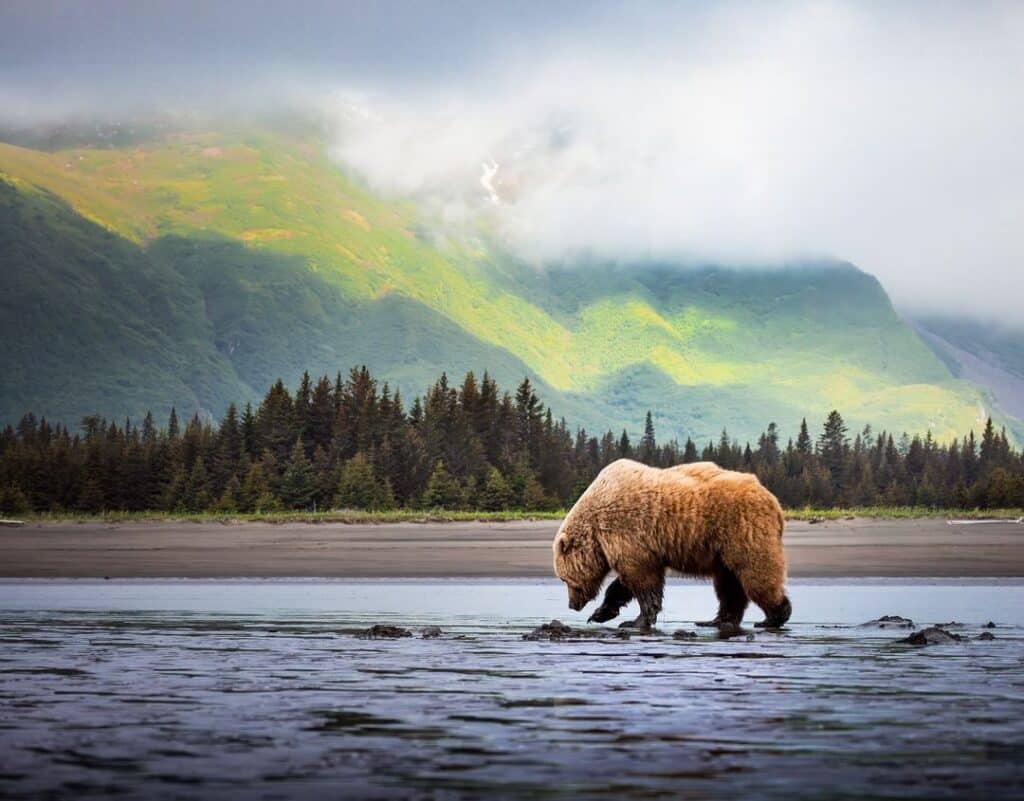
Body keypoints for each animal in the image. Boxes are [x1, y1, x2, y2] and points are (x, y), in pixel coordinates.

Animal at [552, 459, 791, 629]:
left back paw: (773, 616)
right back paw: (717, 620)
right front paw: (600, 614)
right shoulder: (634, 544)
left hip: (742, 530)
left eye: (564, 579)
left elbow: (642, 579)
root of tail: (774, 501)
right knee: (728, 584)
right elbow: (625, 582)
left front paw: (636, 620)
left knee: (756, 573)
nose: (572, 605)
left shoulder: (626, 530)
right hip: (723, 550)